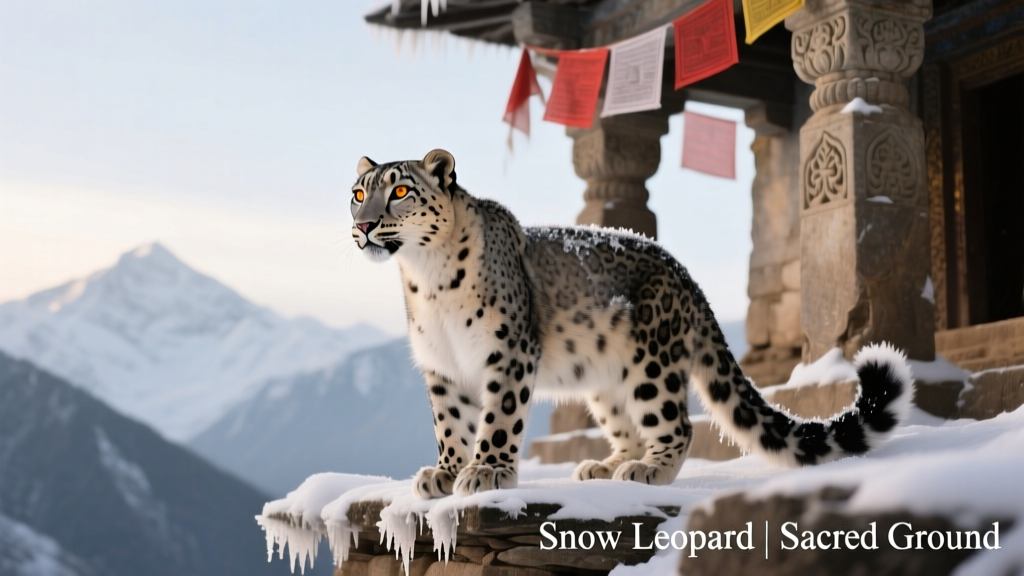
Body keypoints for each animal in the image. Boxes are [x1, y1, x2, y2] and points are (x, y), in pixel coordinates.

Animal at [350, 149, 914, 499]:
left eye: (400, 191)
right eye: (358, 193)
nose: (363, 224)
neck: (427, 280)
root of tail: (686, 276)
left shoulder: (507, 353)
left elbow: (498, 418)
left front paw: (486, 472)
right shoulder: (442, 366)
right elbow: (450, 424)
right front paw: (445, 473)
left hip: (652, 364)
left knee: (677, 424)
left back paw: (648, 470)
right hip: (603, 380)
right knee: (627, 422)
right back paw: (606, 465)